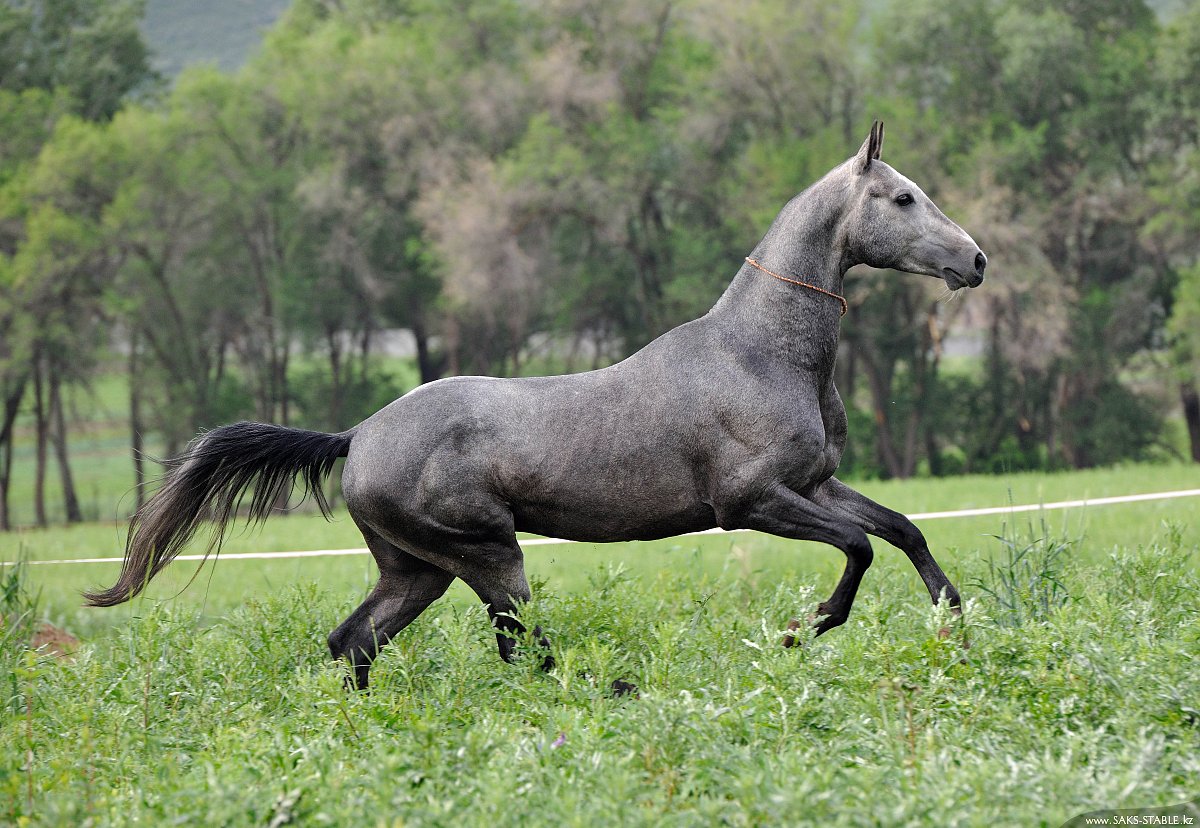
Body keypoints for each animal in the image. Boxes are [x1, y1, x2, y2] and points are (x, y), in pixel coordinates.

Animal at [87, 122, 986, 691]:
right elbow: (857, 549)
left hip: (418, 570)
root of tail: (358, 436)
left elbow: (901, 530)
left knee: (355, 643)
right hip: (488, 553)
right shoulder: (752, 501)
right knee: (522, 646)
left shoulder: (816, 485)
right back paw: (608, 691)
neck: (762, 354)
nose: (975, 260)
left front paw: (956, 620)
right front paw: (807, 628)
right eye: (903, 199)